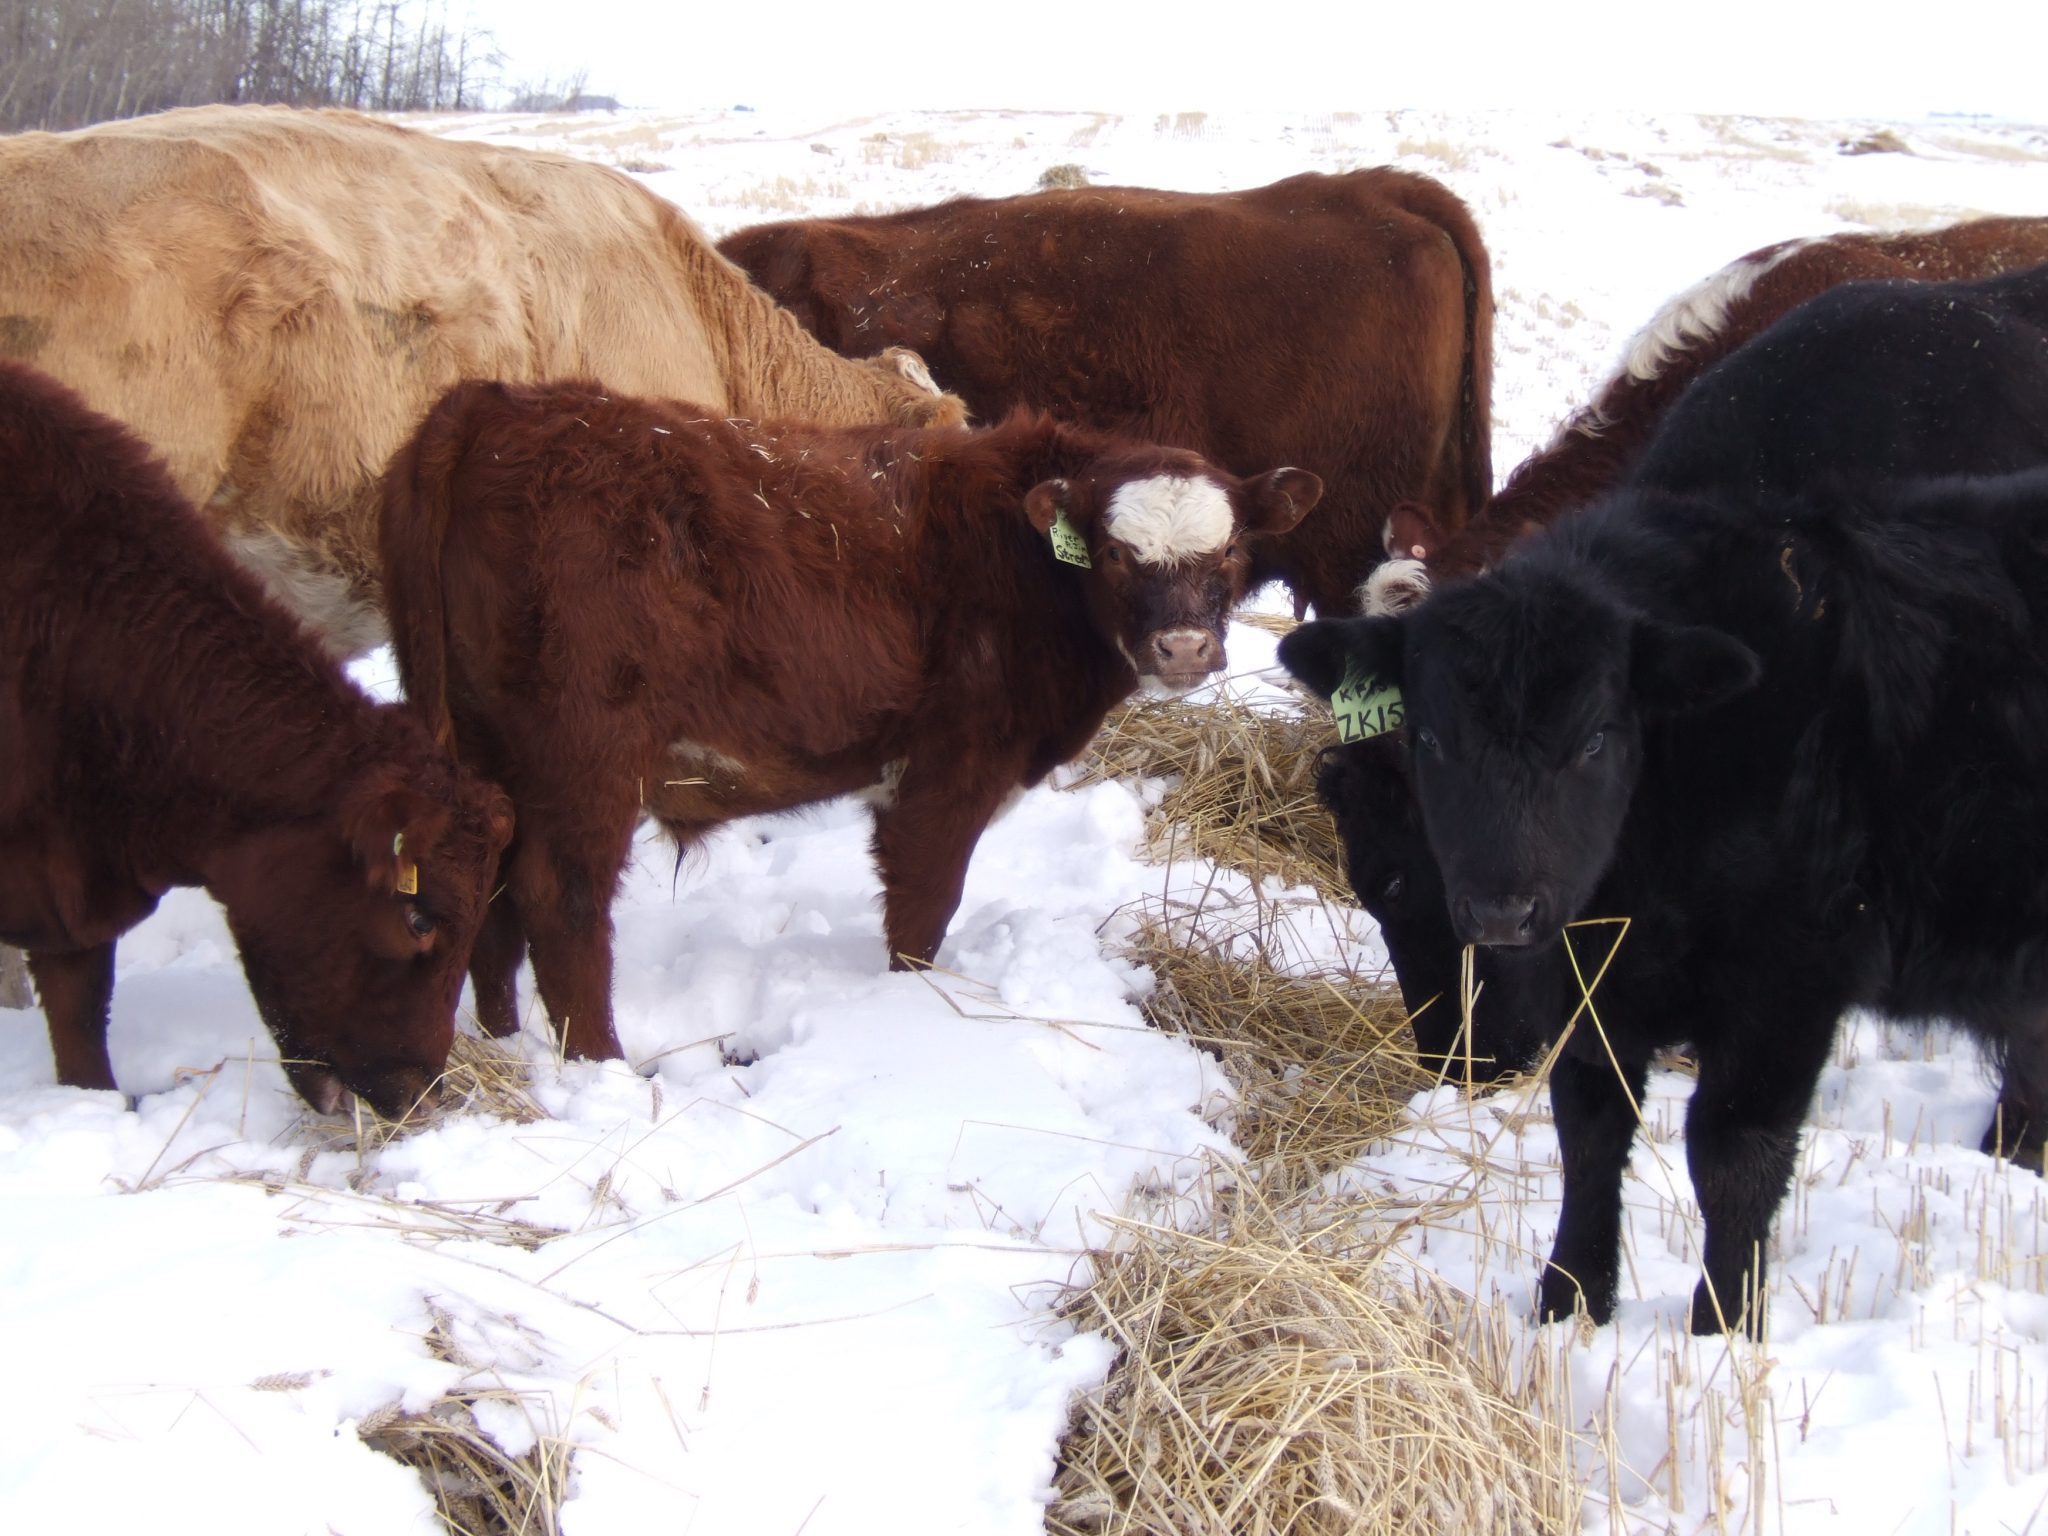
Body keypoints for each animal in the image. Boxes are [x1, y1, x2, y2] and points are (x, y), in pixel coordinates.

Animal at [379, 380, 1320, 1063]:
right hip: (585, 759)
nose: (1185, 645)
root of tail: (498, 403)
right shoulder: (947, 776)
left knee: (491, 889)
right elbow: (921, 914)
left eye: (1230, 551)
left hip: (486, 751)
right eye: (1119, 554)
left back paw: (504, 1044)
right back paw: (602, 1070)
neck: (1018, 562)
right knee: (559, 901)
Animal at [1288, 263, 2048, 1334]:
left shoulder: (1789, 969)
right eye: (1372, 883)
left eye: (1402, 884)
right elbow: (1593, 1119)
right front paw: (1570, 1305)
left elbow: (1733, 1148)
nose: (1461, 1070)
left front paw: (1721, 1336)